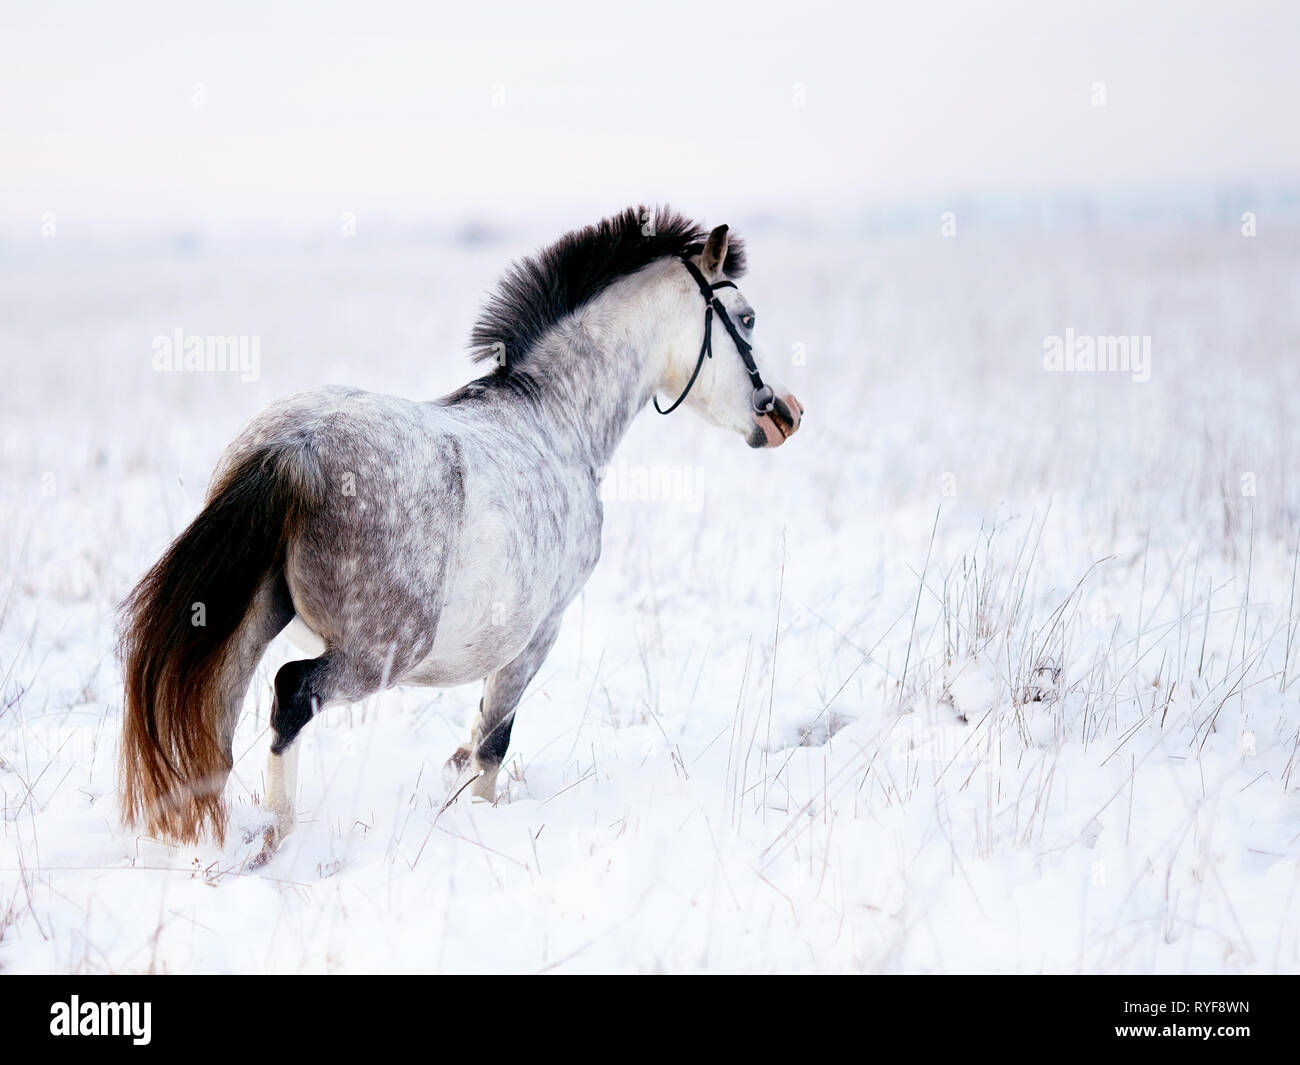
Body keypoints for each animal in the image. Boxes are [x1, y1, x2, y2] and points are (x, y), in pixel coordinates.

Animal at [118, 206, 803, 864]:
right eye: (745, 318)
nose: (786, 414)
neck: (554, 418)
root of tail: (293, 449)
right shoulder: (537, 633)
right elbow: (494, 739)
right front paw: (482, 813)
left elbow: (477, 732)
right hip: (377, 655)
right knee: (290, 695)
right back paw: (276, 834)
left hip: (246, 624)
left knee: (216, 719)